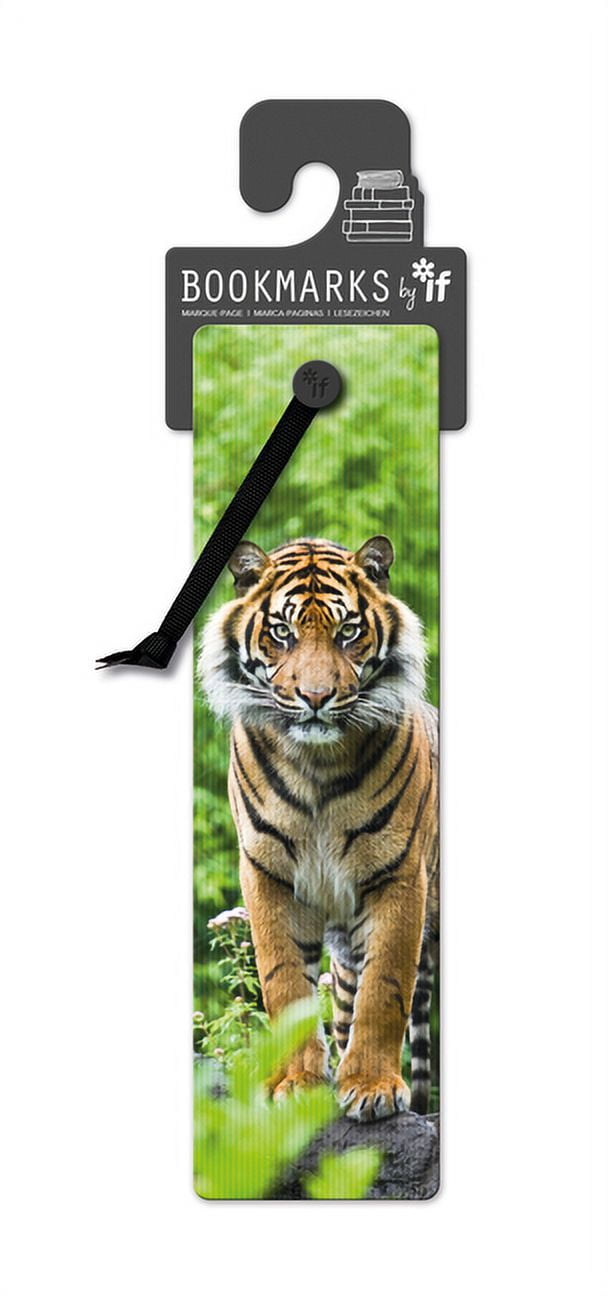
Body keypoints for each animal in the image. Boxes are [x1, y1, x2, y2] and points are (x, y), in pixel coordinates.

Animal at [199, 535, 439, 1121]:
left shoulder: (399, 876)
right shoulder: (267, 874)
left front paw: (373, 1086)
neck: (318, 766)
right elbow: (284, 983)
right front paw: (295, 1084)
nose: (314, 697)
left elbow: (386, 987)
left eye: (347, 631)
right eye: (282, 633)